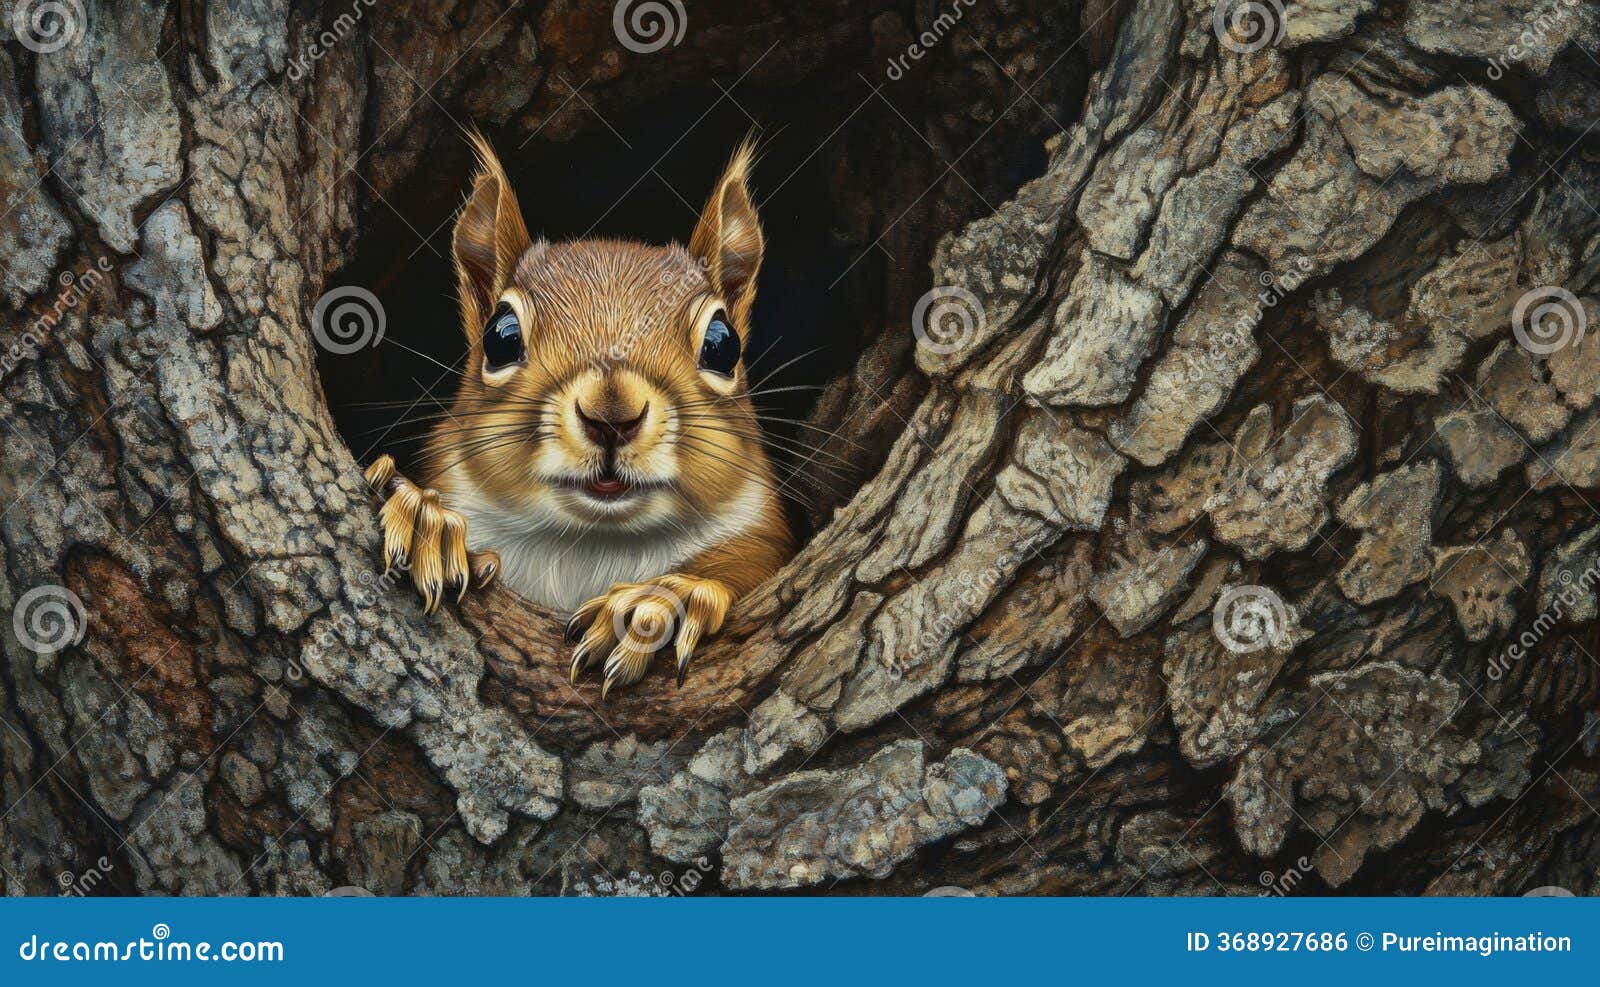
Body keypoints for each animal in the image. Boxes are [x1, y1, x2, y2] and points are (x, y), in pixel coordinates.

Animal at [364, 134, 796, 696]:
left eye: (724, 345)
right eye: (500, 337)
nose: (612, 416)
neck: (588, 544)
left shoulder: (762, 538)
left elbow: (746, 567)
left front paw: (663, 599)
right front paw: (424, 518)